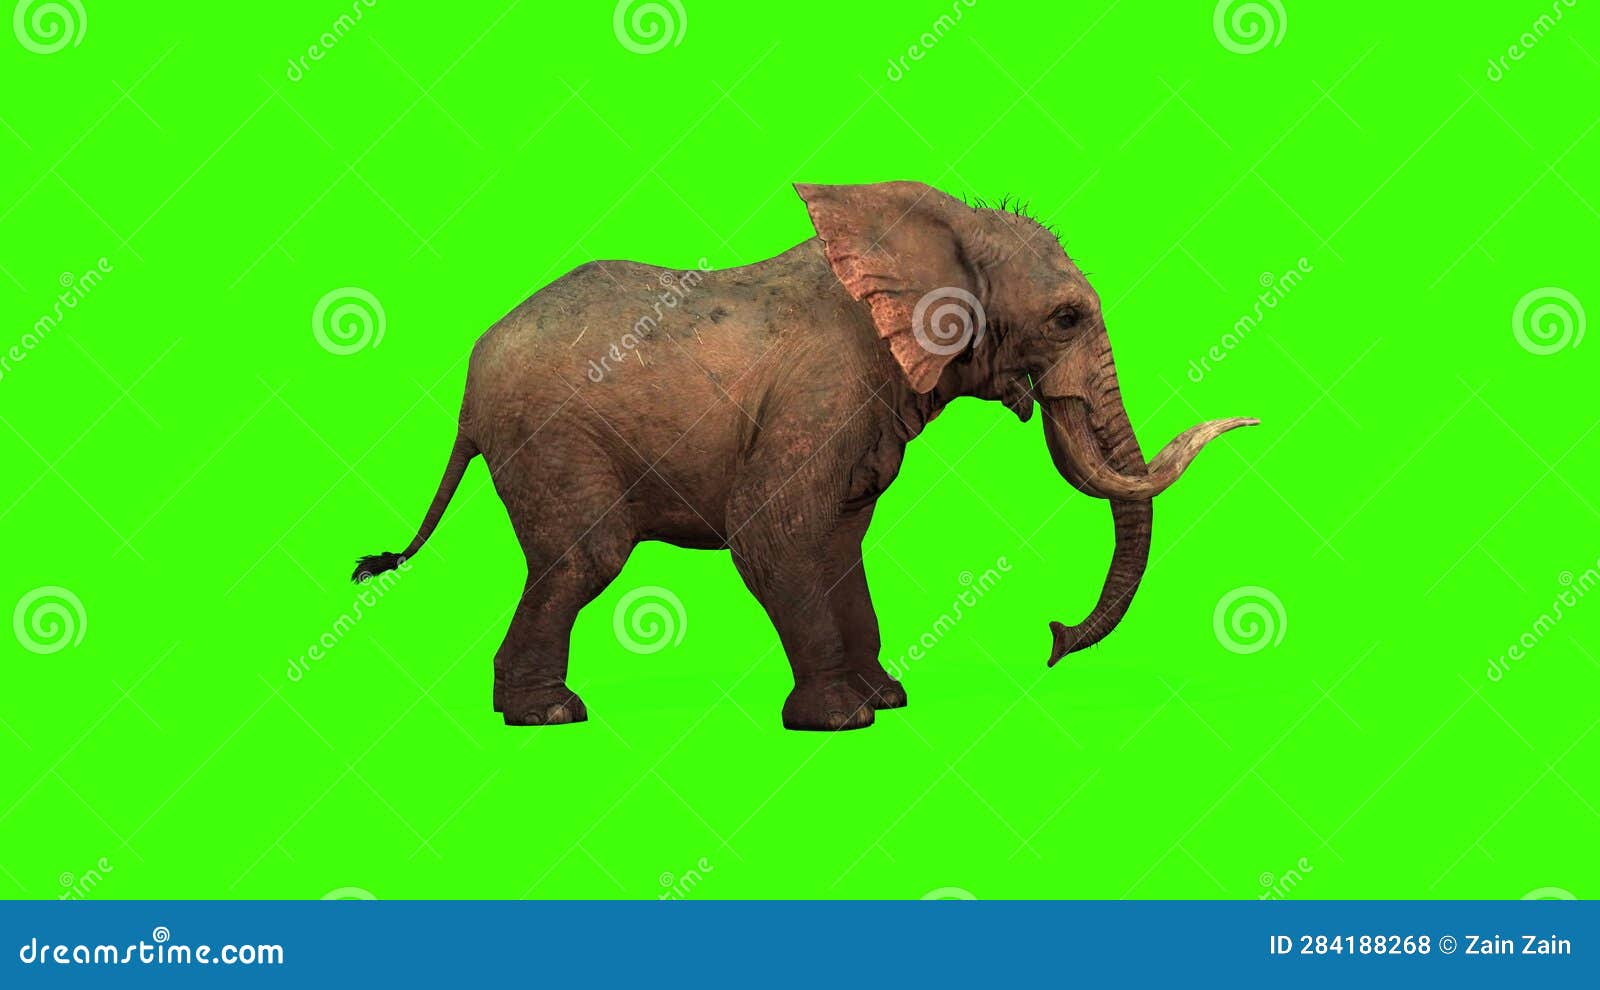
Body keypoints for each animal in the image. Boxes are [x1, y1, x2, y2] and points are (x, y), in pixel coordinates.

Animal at [351, 180, 1257, 731]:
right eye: (1066, 318)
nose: (1053, 638)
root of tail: (468, 382)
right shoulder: (823, 392)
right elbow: (773, 532)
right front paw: (844, 719)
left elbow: (838, 542)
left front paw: (886, 699)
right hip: (552, 437)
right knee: (586, 557)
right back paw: (548, 716)